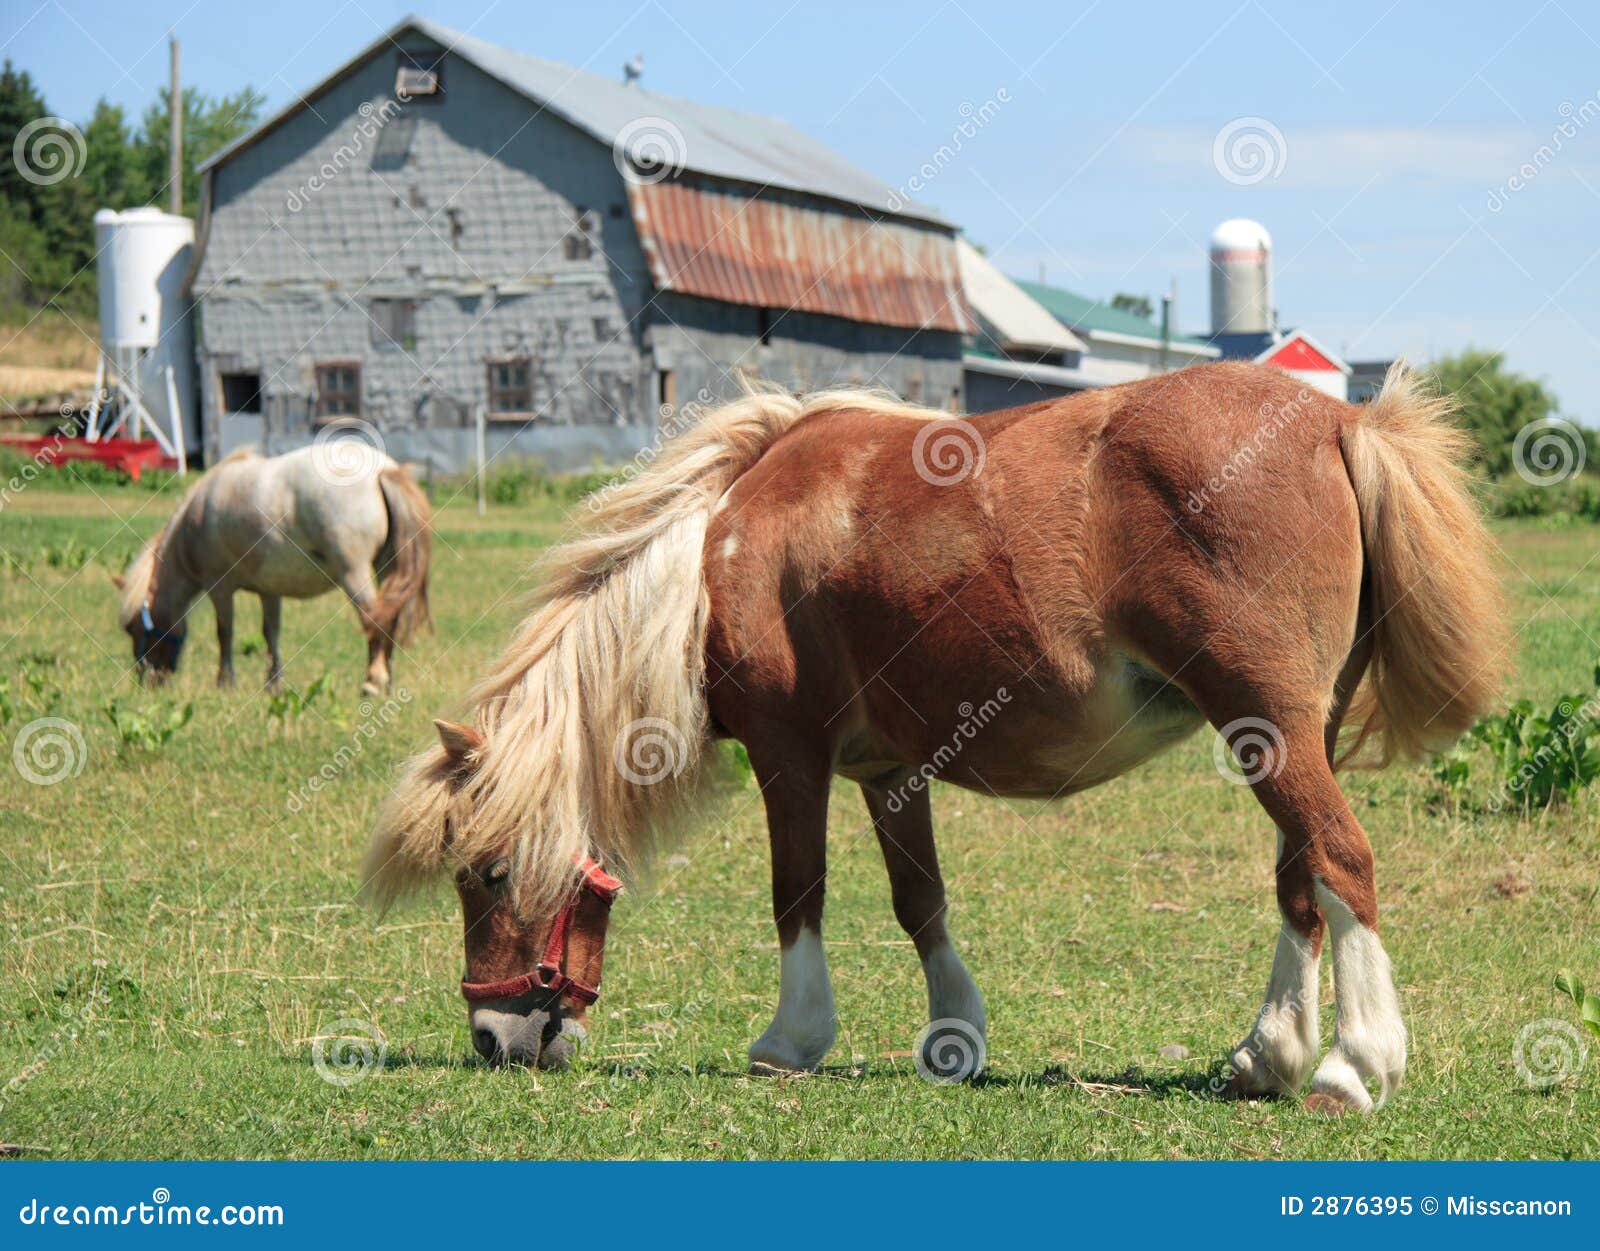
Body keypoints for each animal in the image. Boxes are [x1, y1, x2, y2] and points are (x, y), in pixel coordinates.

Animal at [114, 440, 432, 695]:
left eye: (134, 629)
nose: (146, 682)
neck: (194, 521)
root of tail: (383, 471)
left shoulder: (220, 588)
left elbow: (225, 632)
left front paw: (225, 683)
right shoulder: (269, 591)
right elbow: (271, 633)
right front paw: (273, 684)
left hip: (355, 575)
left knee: (375, 620)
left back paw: (373, 682)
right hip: (386, 569)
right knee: (390, 616)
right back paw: (387, 681)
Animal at [364, 361, 1505, 1113]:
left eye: (489, 873)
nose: (493, 1037)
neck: (714, 553)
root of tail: (1340, 421)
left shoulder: (790, 756)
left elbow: (798, 893)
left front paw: (791, 1038)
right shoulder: (888, 771)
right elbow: (922, 903)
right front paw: (954, 1035)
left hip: (1267, 723)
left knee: (1341, 862)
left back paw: (1352, 1065)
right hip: (1288, 731)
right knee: (1301, 879)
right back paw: (1267, 1054)